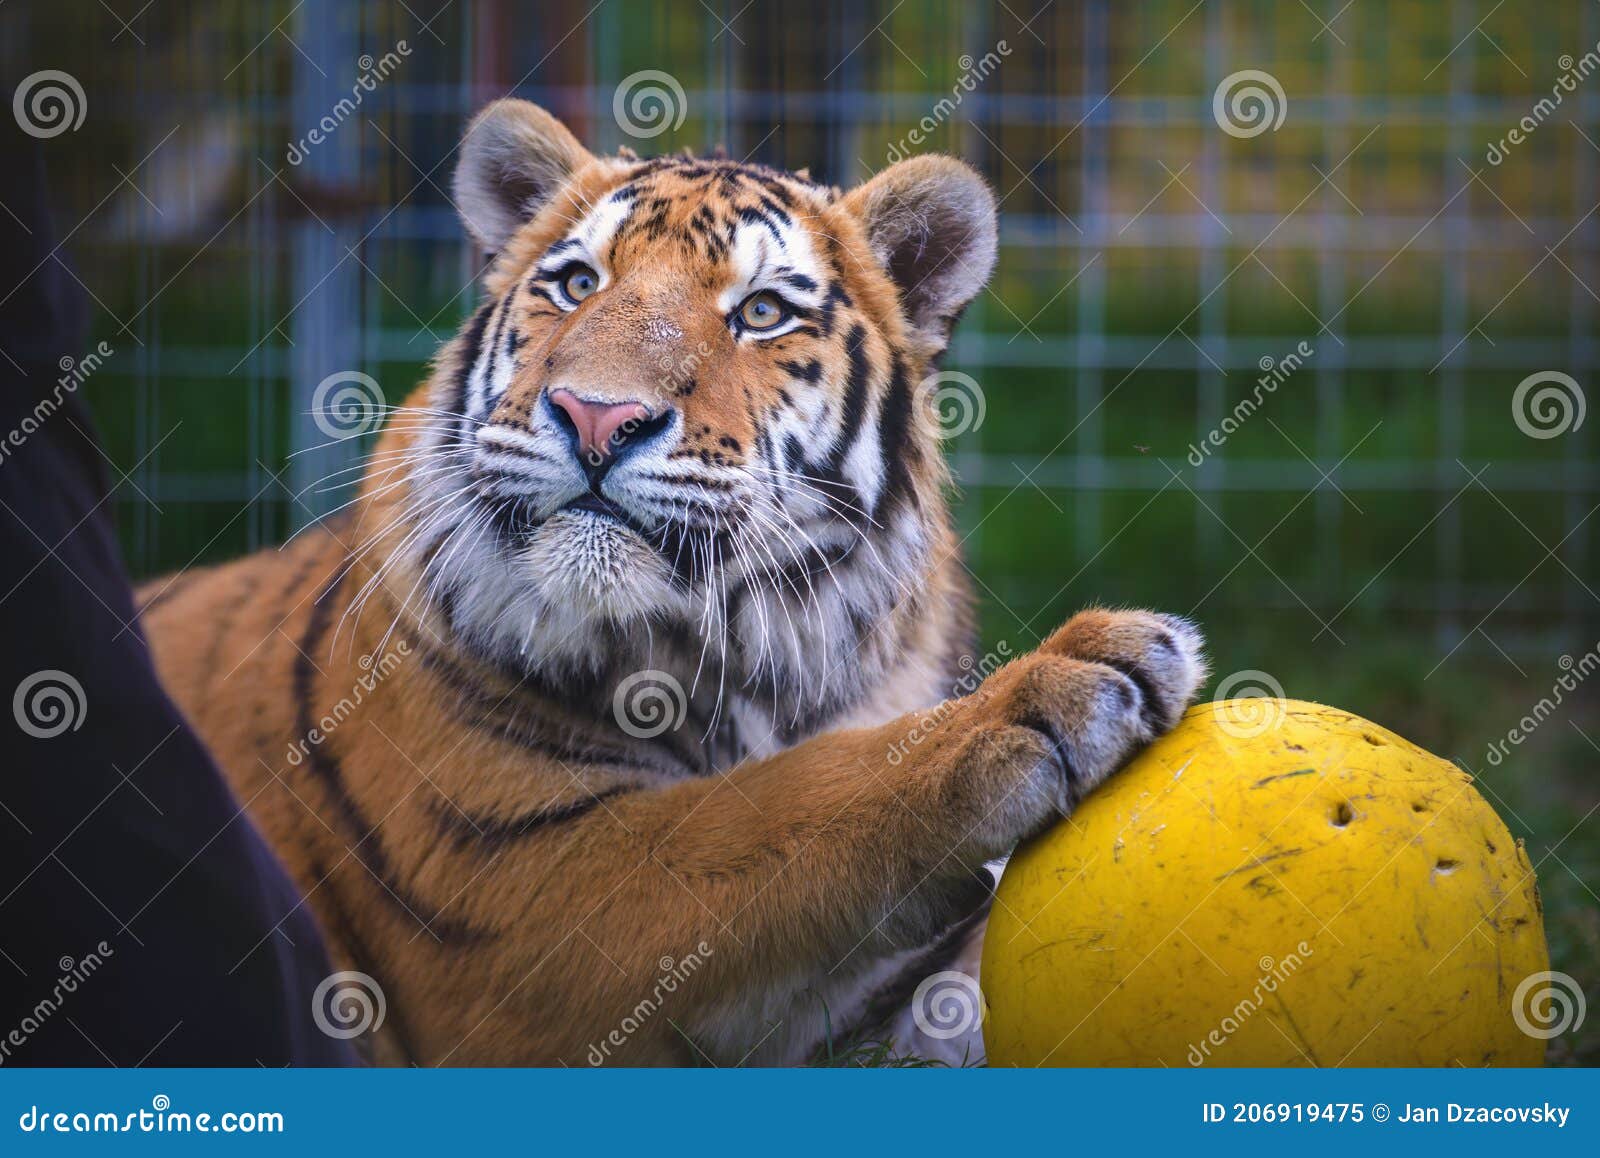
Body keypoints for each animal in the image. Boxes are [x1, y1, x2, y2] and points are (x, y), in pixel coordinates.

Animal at [137, 100, 1208, 1065]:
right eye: (575, 284)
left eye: (763, 312)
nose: (596, 416)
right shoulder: (516, 880)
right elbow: (768, 804)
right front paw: (1044, 696)